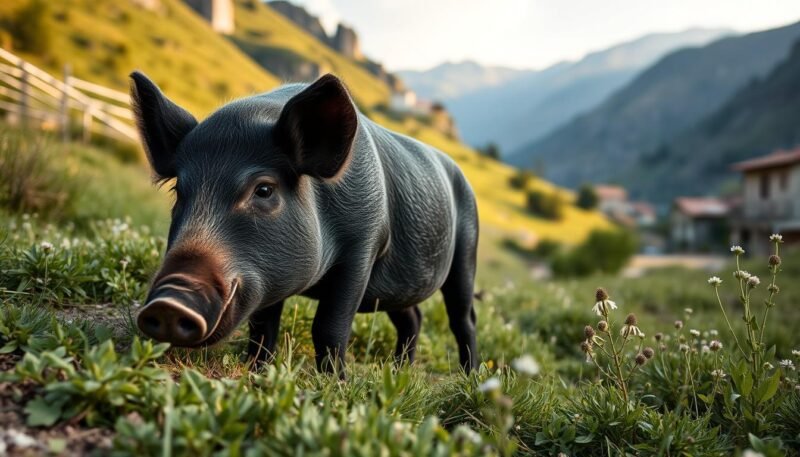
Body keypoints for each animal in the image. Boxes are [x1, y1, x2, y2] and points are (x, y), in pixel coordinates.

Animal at [130, 71, 479, 374]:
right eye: (178, 191)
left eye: (264, 190)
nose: (168, 304)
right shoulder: (267, 276)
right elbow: (262, 328)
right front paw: (257, 372)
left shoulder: (365, 245)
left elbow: (328, 327)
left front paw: (333, 385)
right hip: (398, 287)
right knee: (413, 317)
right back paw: (399, 372)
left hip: (467, 250)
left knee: (463, 318)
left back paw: (470, 376)